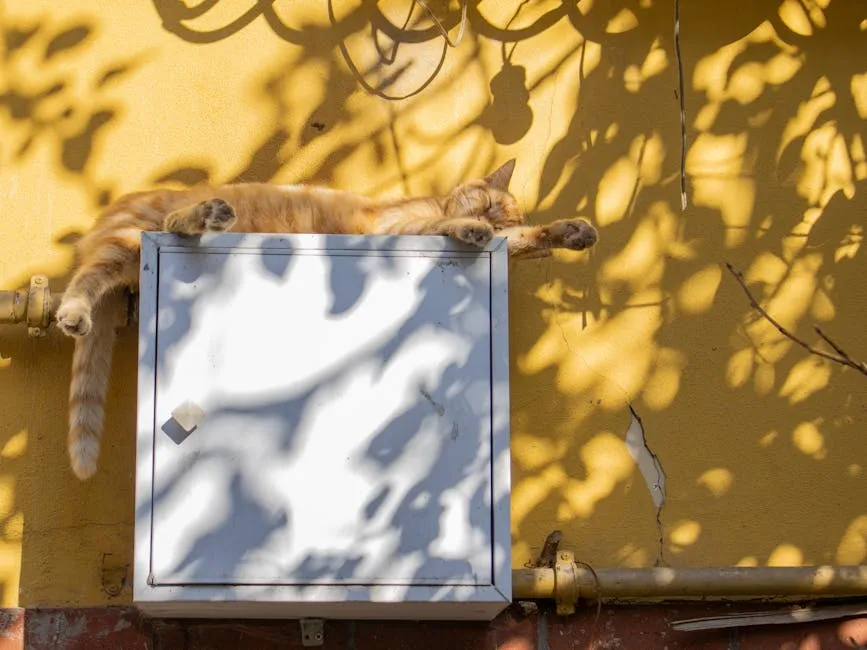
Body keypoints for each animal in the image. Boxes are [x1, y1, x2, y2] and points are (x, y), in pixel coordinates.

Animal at [54, 159, 596, 478]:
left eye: (501, 215)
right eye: (483, 201)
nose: (485, 222)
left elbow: (528, 238)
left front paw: (567, 232)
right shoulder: (396, 228)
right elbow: (443, 223)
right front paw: (470, 227)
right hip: (127, 241)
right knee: (102, 268)